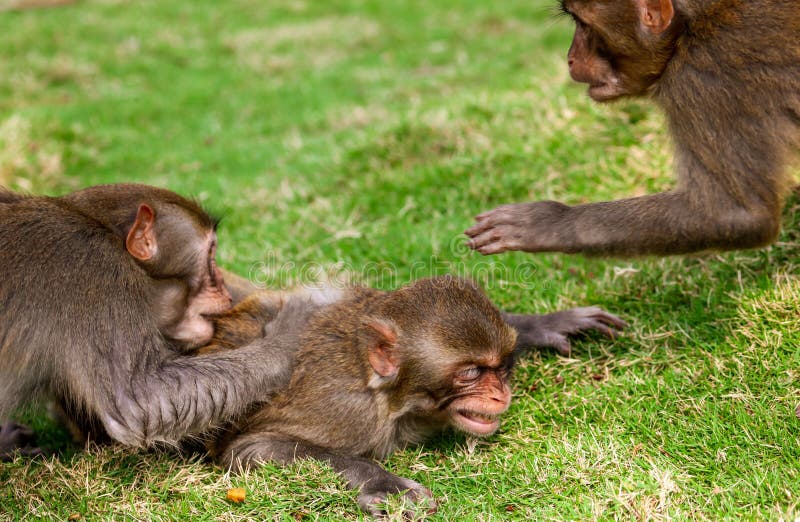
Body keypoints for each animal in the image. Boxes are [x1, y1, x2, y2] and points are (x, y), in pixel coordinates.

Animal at [197, 276, 625, 517]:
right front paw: (384, 483)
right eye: (471, 374)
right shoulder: (344, 410)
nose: (501, 394)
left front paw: (540, 324)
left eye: (502, 367)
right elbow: (246, 449)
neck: (390, 398)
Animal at [466, 0, 800, 257]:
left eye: (582, 24)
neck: (691, 29)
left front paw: (551, 222)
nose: (570, 59)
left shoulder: (703, 79)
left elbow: (736, 214)